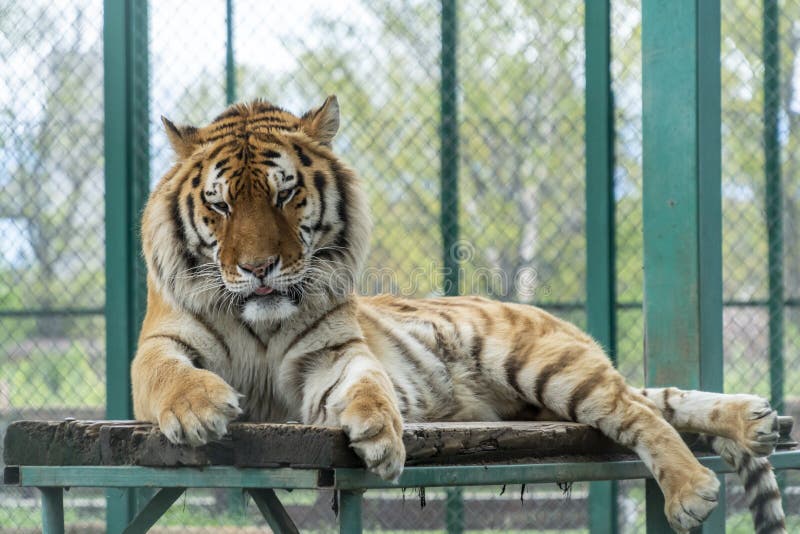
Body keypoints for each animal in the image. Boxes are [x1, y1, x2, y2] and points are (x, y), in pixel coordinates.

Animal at [132, 96, 786, 533]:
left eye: (285, 194)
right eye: (219, 205)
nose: (259, 267)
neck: (262, 322)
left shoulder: (333, 353)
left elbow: (367, 382)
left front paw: (382, 432)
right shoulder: (160, 346)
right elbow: (168, 374)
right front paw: (199, 410)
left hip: (544, 364)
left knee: (637, 409)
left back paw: (694, 485)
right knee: (649, 397)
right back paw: (753, 422)